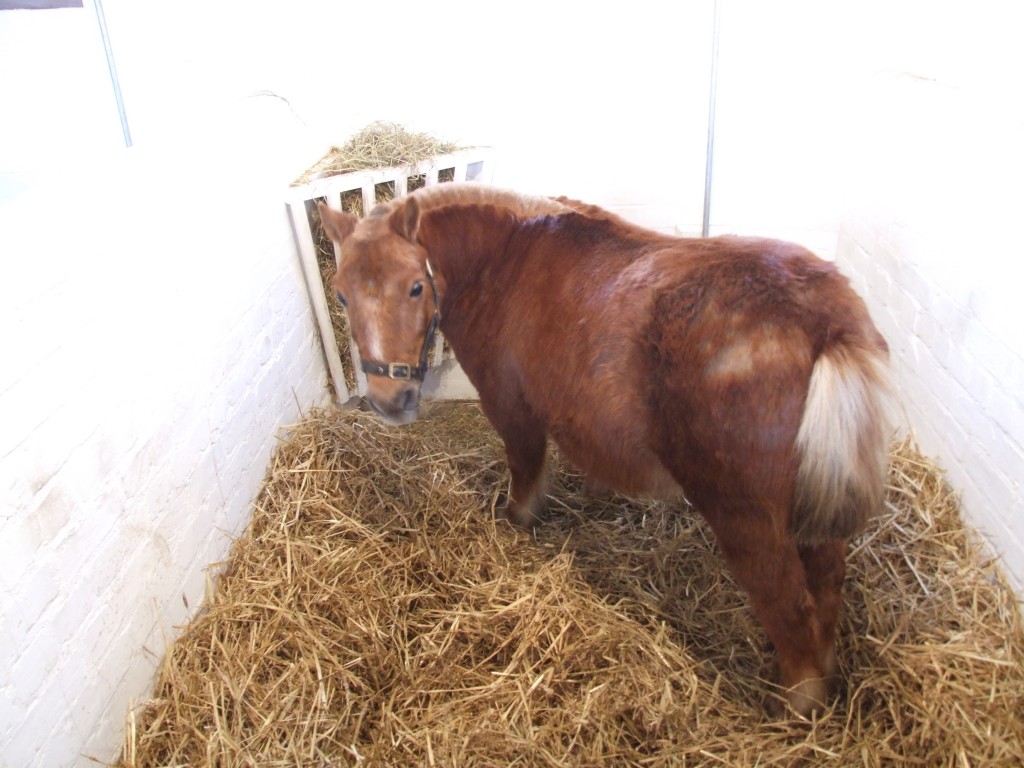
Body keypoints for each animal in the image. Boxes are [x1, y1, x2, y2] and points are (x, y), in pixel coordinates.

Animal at [318, 183, 891, 718]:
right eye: (341, 295)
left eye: (416, 286)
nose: (389, 401)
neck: (506, 257)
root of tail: (822, 325)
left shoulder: (512, 410)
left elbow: (525, 473)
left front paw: (518, 522)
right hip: (811, 519)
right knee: (826, 587)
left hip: (747, 520)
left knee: (788, 608)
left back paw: (796, 701)